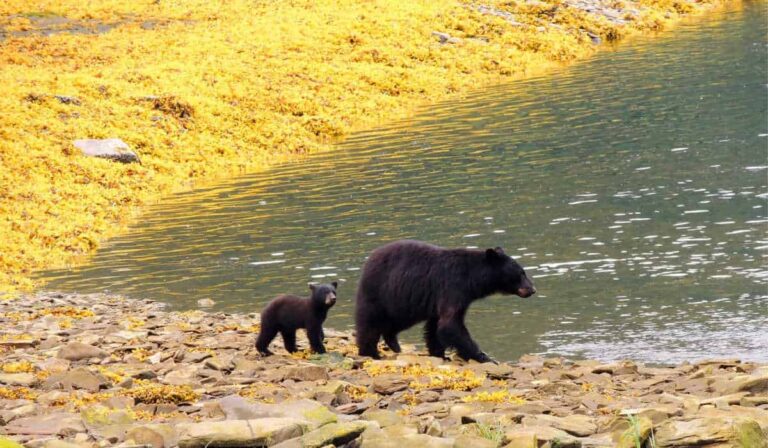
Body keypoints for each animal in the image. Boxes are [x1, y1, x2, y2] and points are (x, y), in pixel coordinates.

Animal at [354, 240, 535, 363]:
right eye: (521, 273)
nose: (532, 289)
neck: (472, 277)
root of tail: (369, 260)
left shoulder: (441, 299)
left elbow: (435, 326)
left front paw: (439, 354)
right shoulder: (453, 287)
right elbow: (450, 324)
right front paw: (485, 357)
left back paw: (393, 343)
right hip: (380, 292)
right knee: (370, 323)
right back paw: (370, 352)